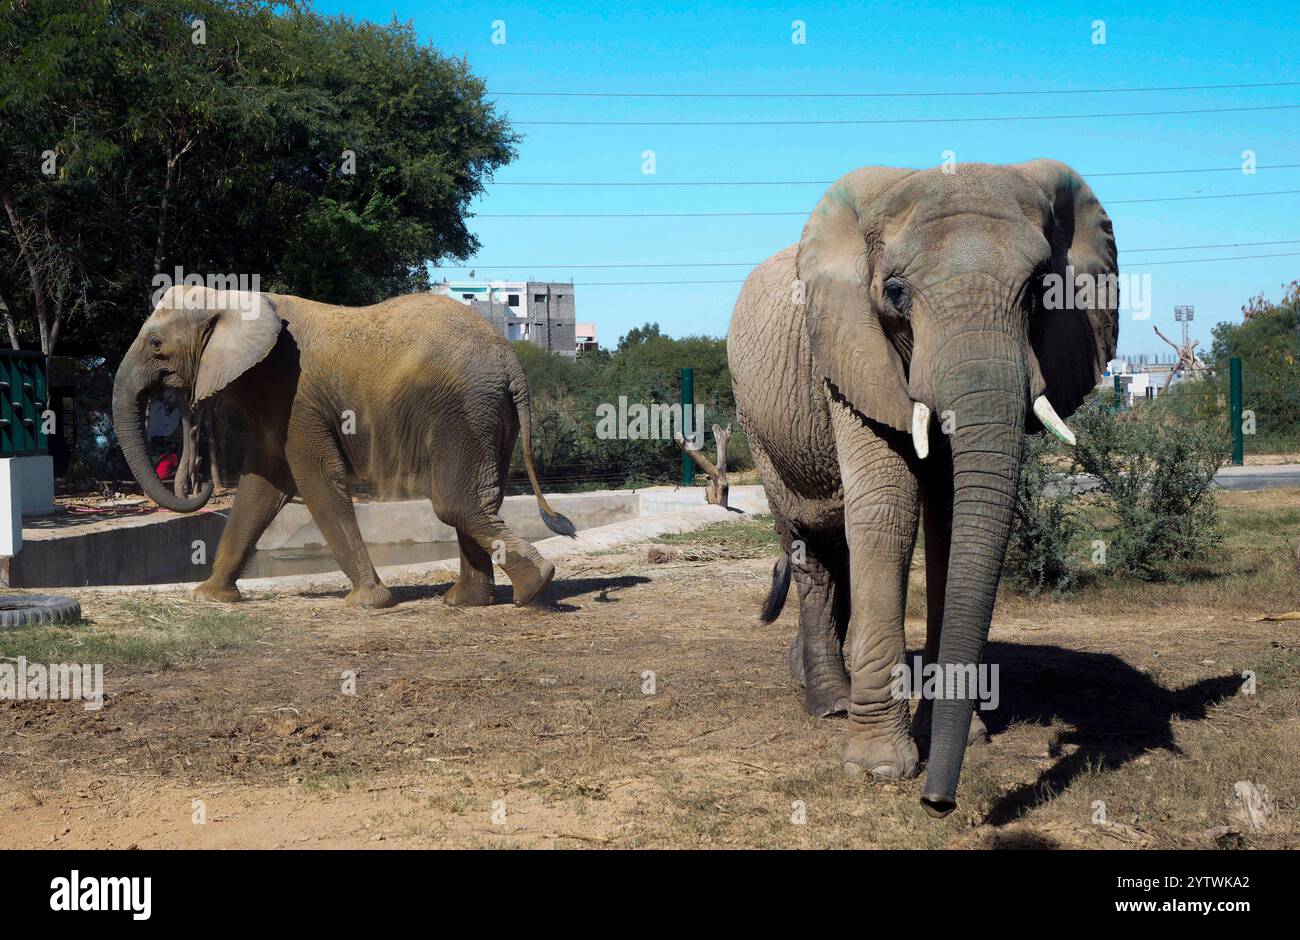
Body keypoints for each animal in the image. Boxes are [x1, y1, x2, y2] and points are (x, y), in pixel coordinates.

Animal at [112, 286, 575, 609]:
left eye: (155, 345)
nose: (200, 485)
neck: (234, 297)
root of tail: (513, 365)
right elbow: (263, 484)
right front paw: (209, 597)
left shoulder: (297, 395)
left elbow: (314, 477)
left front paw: (367, 602)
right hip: (489, 416)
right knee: (475, 501)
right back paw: (469, 601)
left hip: (463, 410)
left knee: (455, 503)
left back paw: (535, 586)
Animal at [728, 160, 1117, 817]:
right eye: (895, 293)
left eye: (1043, 288)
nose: (939, 803)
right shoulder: (851, 351)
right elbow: (889, 504)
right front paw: (879, 769)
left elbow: (951, 513)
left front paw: (964, 736)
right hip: (758, 426)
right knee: (810, 546)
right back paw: (829, 702)